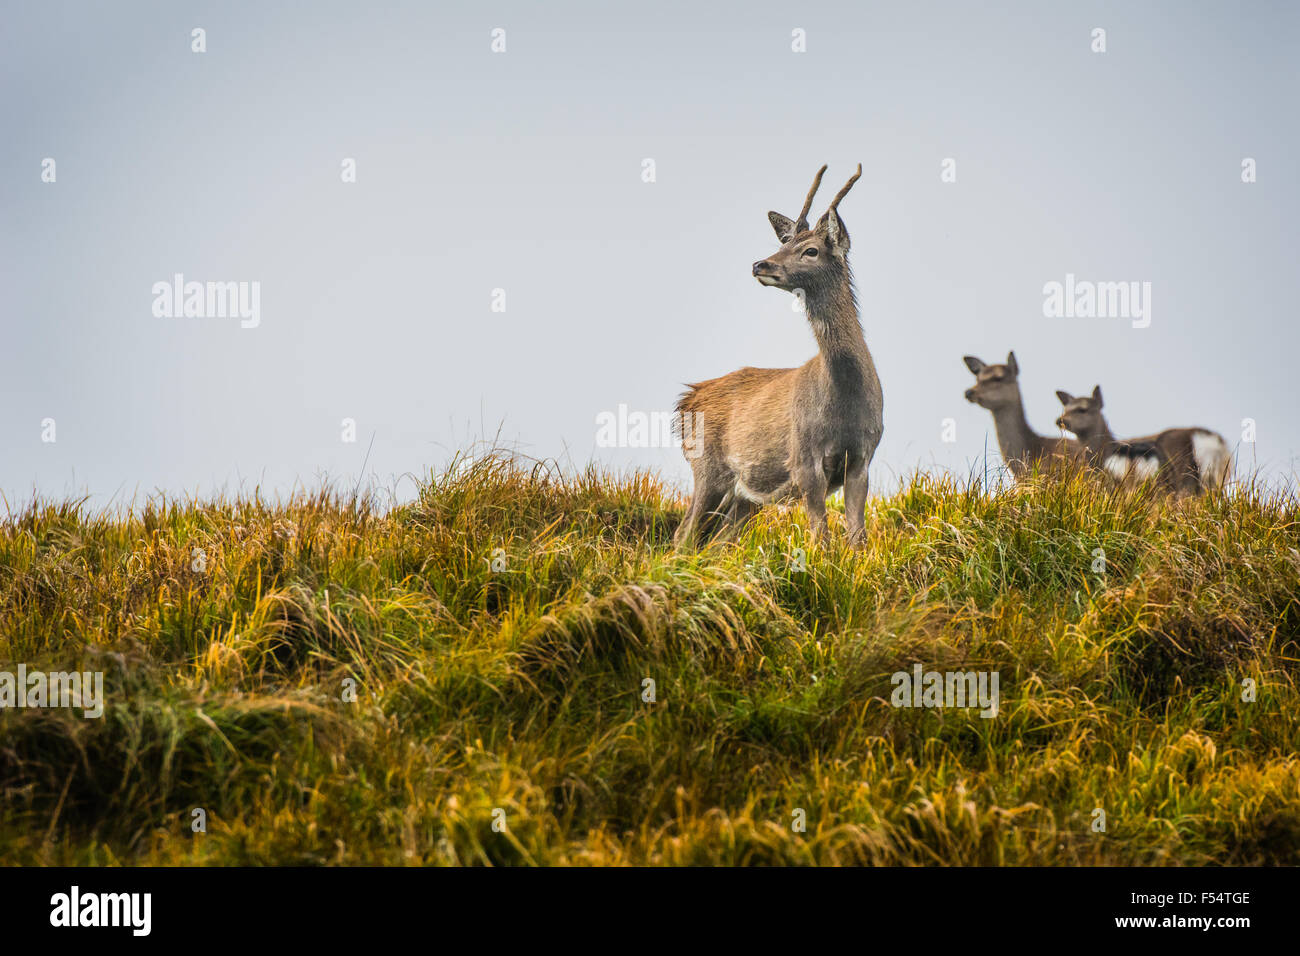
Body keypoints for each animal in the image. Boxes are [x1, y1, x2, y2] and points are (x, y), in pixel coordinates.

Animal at [673, 164, 883, 548]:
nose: (760, 264)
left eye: (811, 250)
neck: (845, 400)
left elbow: (857, 538)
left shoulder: (863, 458)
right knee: (684, 534)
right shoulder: (804, 460)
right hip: (707, 467)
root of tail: (686, 399)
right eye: (784, 243)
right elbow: (820, 539)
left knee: (719, 540)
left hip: (744, 495)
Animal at [1054, 385, 1231, 495]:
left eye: (1082, 409)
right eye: (1065, 408)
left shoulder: (1118, 483)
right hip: (1215, 477)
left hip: (1184, 475)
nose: (1060, 420)